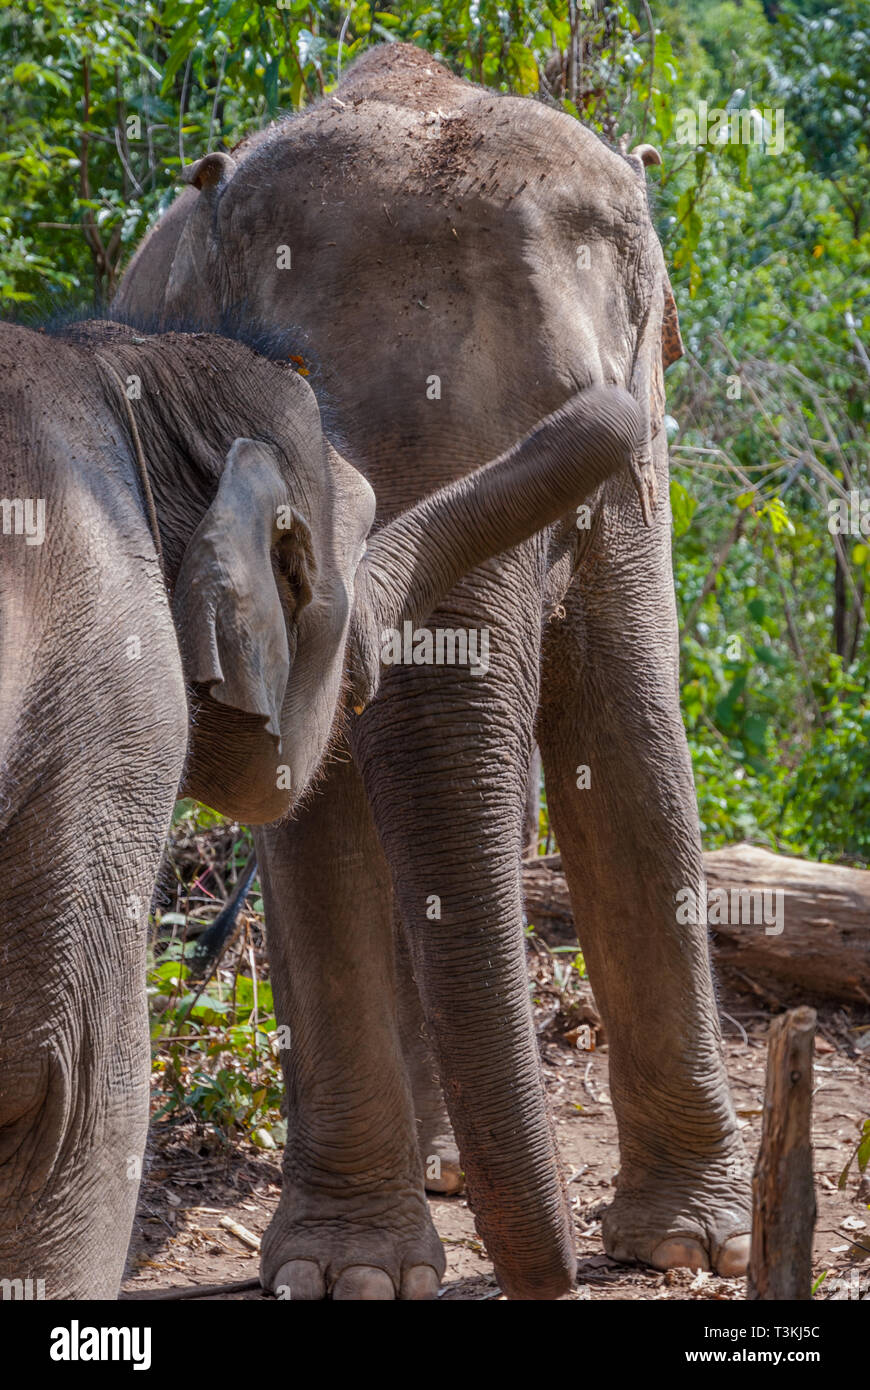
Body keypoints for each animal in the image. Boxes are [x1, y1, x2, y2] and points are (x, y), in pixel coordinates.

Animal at [114, 41, 752, 1300]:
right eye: (290, 404)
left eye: (577, 404)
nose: (564, 1273)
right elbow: (316, 820)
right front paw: (348, 1273)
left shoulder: (638, 484)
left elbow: (633, 748)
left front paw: (693, 1243)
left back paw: (453, 1167)